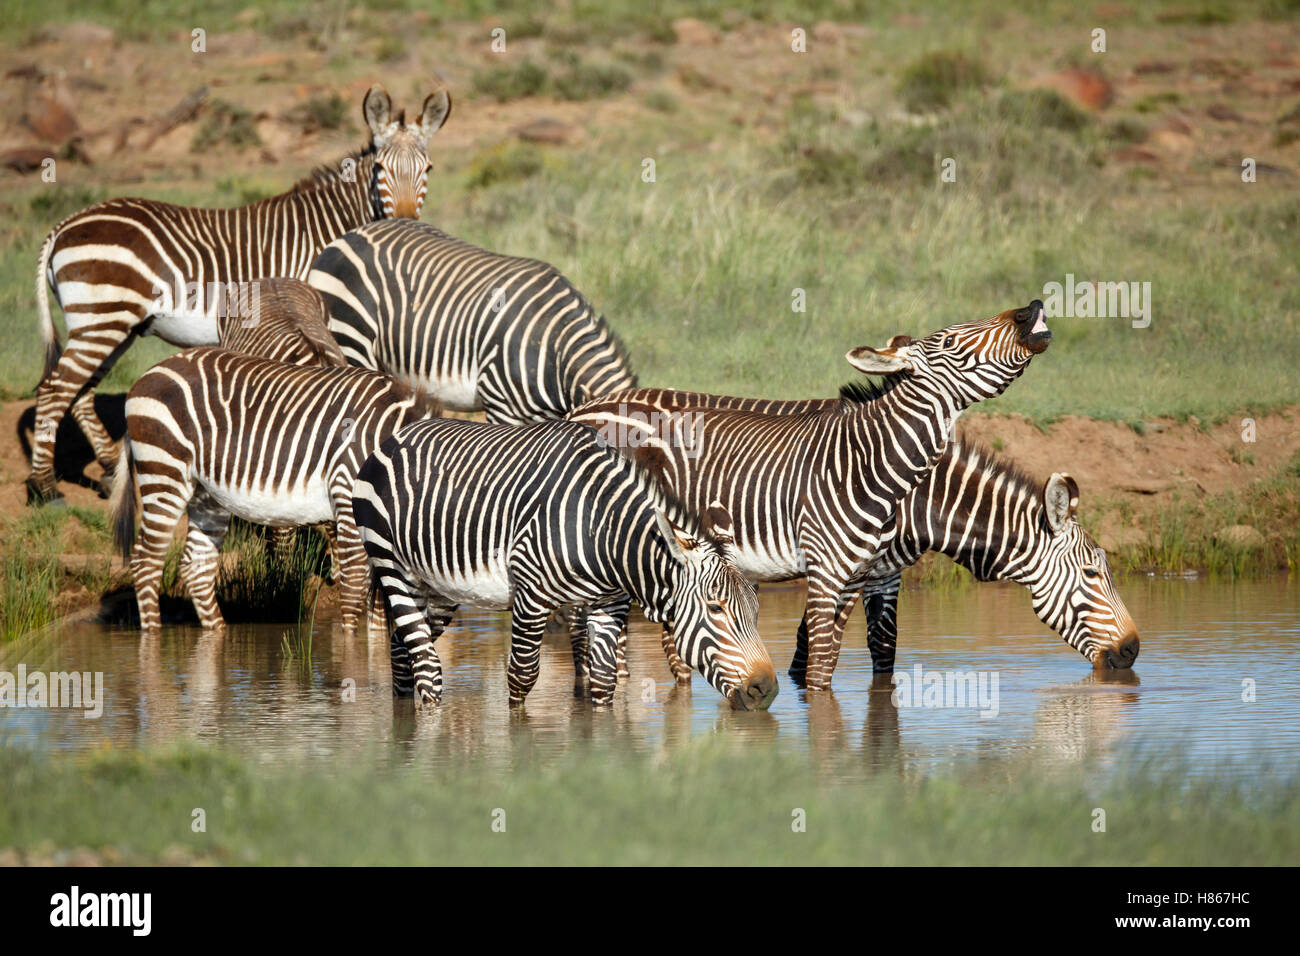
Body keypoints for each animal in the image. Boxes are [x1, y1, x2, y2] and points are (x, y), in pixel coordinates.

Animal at [29, 84, 451, 504]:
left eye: (428, 169)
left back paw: (105, 471)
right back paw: (45, 488)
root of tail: (65, 225)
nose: (406, 226)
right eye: (380, 168)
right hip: (102, 317)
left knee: (80, 392)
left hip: (115, 324)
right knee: (55, 389)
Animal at [108, 348, 440, 634]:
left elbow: (383, 603)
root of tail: (151, 372)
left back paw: (218, 635)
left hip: (205, 493)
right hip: (165, 469)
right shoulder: (347, 494)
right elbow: (356, 585)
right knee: (146, 562)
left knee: (197, 567)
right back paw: (152, 642)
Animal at [351, 417, 778, 709]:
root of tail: (395, 437)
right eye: (715, 609)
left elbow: (603, 682)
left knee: (401, 651)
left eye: (756, 611)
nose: (767, 690)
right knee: (426, 666)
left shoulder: (610, 604)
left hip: (438, 587)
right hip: (392, 565)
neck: (602, 530)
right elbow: (521, 678)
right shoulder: (531, 597)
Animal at [569, 300, 1053, 691]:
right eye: (951, 341)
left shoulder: (860, 574)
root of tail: (580, 411)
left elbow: (838, 660)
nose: (1030, 309)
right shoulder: (830, 571)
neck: (869, 463)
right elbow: (822, 665)